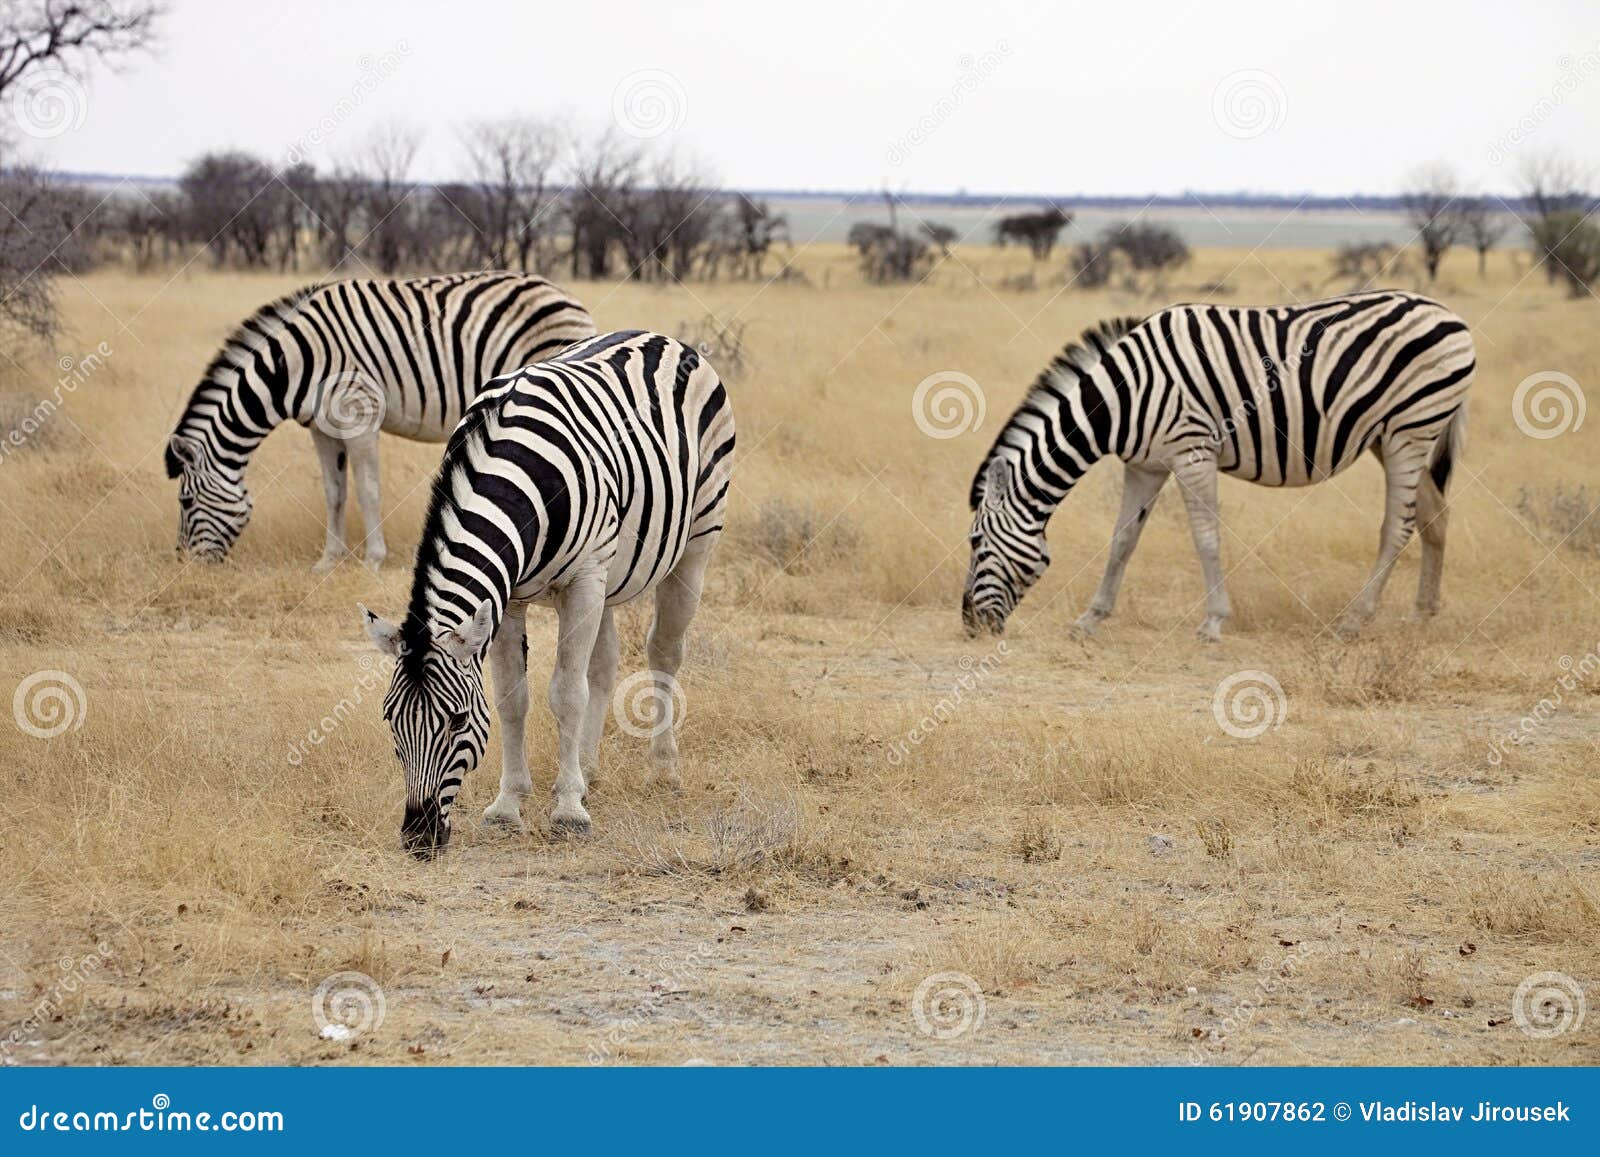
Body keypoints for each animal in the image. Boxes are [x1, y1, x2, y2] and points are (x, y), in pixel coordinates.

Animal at [165, 272, 595, 570]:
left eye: (185, 501)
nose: (183, 562)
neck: (293, 364)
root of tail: (569, 298)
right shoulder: (321, 428)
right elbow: (335, 493)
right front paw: (328, 560)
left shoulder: (360, 413)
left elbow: (368, 490)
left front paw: (373, 559)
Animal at [359, 330, 735, 857]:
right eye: (391, 720)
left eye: (457, 721)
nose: (418, 836)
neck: (510, 476)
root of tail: (657, 336)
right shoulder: (509, 594)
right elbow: (512, 697)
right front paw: (508, 805)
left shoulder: (583, 580)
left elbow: (566, 693)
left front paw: (568, 809)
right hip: (610, 577)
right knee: (605, 662)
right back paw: (589, 769)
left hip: (695, 542)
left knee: (663, 652)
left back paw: (663, 770)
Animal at [962, 290, 1475, 641]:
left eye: (976, 542)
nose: (968, 624)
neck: (1122, 397)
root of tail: (1448, 314)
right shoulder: (1145, 465)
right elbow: (1122, 540)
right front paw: (1091, 618)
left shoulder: (1192, 452)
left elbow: (1206, 538)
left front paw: (1213, 622)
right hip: (1393, 437)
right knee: (1436, 515)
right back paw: (1423, 613)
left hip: (1410, 430)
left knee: (1398, 526)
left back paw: (1355, 619)